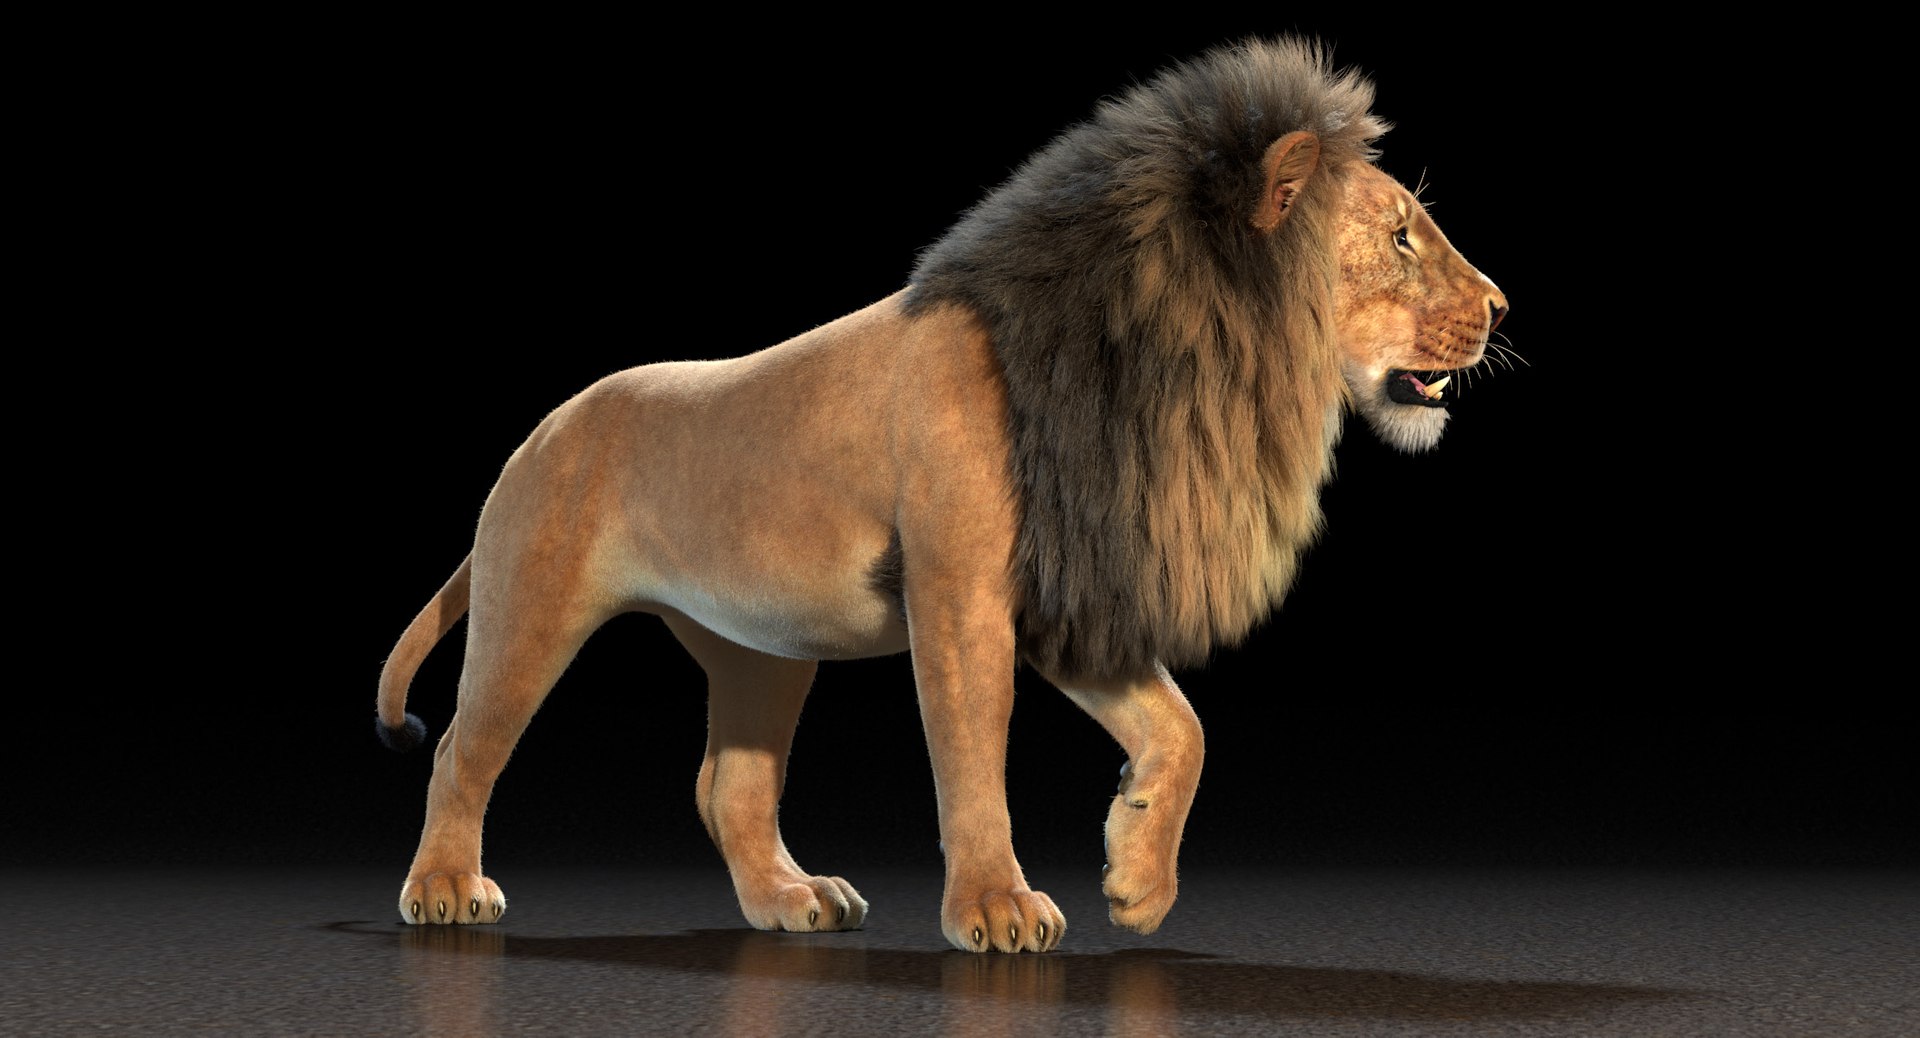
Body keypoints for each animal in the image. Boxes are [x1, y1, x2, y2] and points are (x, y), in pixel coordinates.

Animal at [375, 37, 1507, 953]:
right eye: (1403, 237)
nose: (1502, 305)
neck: (1171, 364)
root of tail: (539, 433)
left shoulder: (1071, 583)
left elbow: (1182, 728)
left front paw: (1137, 873)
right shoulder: (960, 592)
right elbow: (973, 755)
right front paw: (996, 909)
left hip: (761, 646)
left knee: (729, 787)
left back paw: (794, 900)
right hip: (533, 606)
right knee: (465, 750)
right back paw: (444, 892)